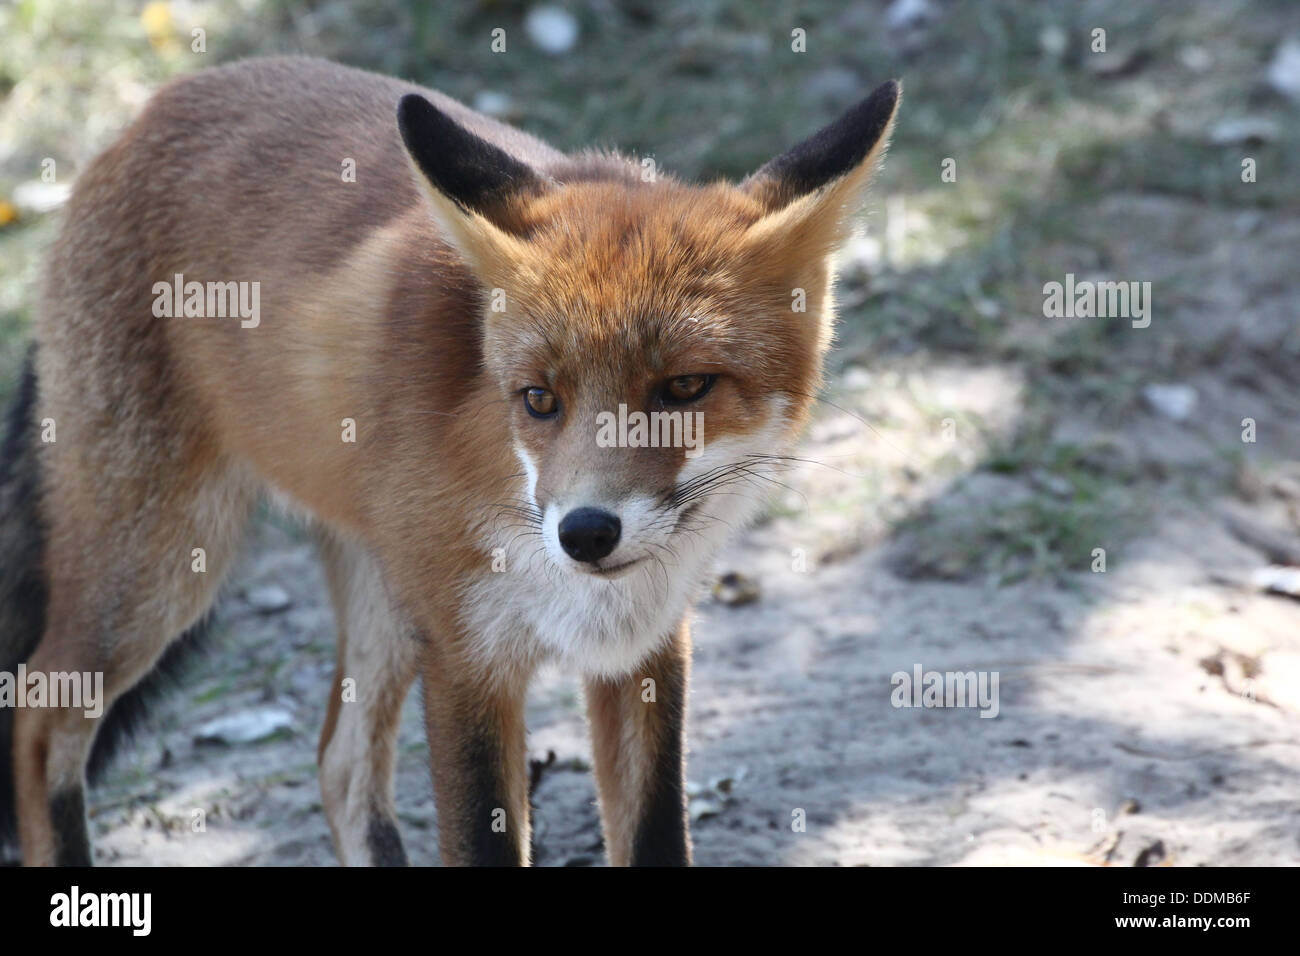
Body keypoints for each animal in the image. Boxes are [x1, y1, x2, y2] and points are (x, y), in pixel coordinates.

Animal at [0, 56, 898, 866]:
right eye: (539, 399)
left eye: (684, 386)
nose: (585, 533)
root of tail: (146, 116)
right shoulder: (467, 660)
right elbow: (482, 842)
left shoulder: (647, 646)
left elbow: (655, 838)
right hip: (161, 572)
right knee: (39, 720)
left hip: (381, 600)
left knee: (338, 766)